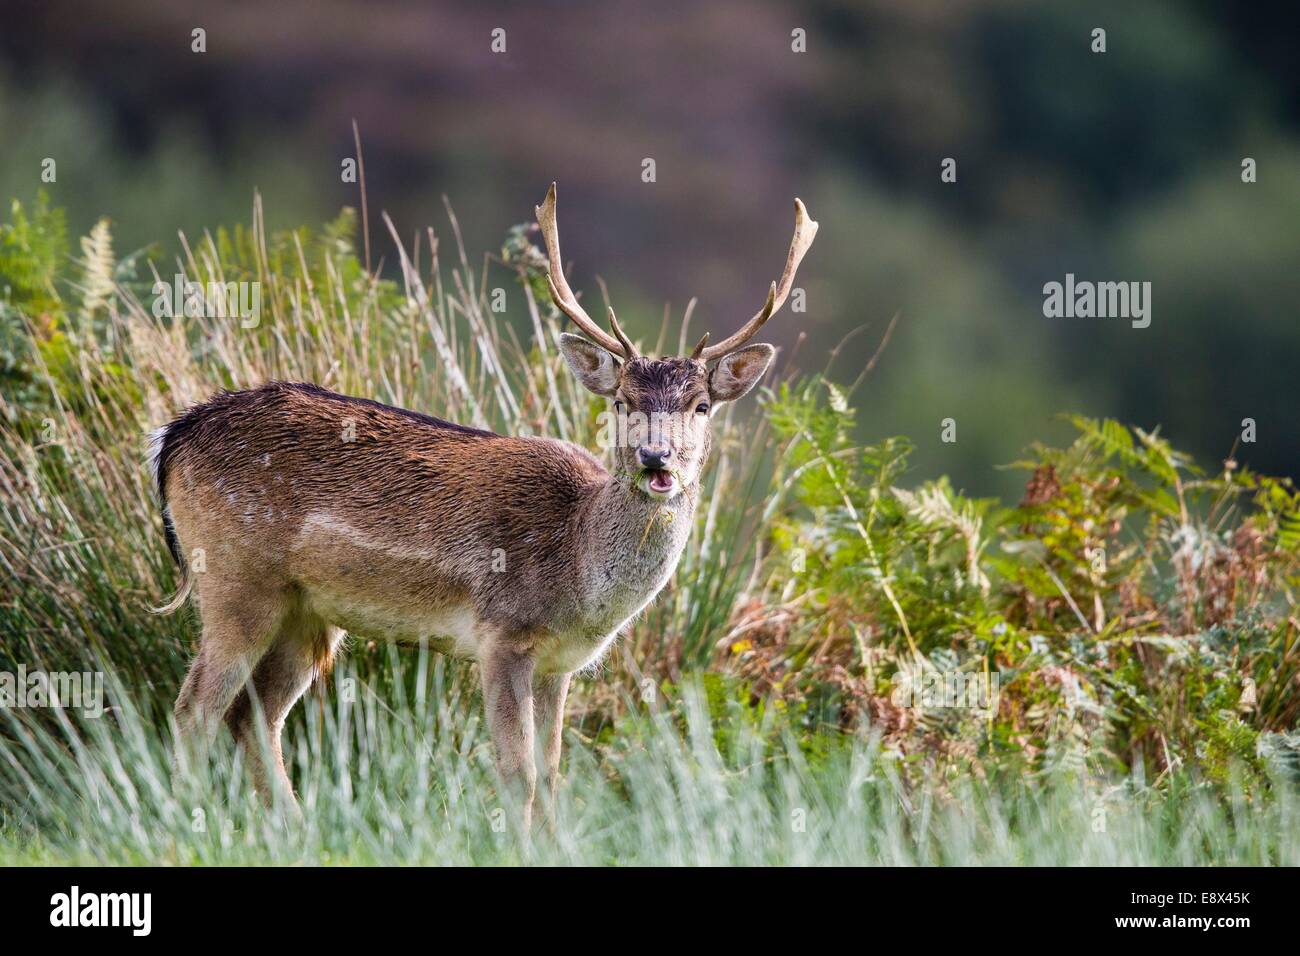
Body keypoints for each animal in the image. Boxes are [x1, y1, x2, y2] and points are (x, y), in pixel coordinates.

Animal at [151, 184, 817, 826]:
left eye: (702, 406)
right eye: (623, 400)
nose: (657, 459)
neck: (579, 576)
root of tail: (174, 436)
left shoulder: (559, 665)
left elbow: (553, 775)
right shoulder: (504, 634)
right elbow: (517, 774)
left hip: (307, 612)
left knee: (254, 716)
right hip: (237, 578)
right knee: (193, 710)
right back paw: (186, 823)